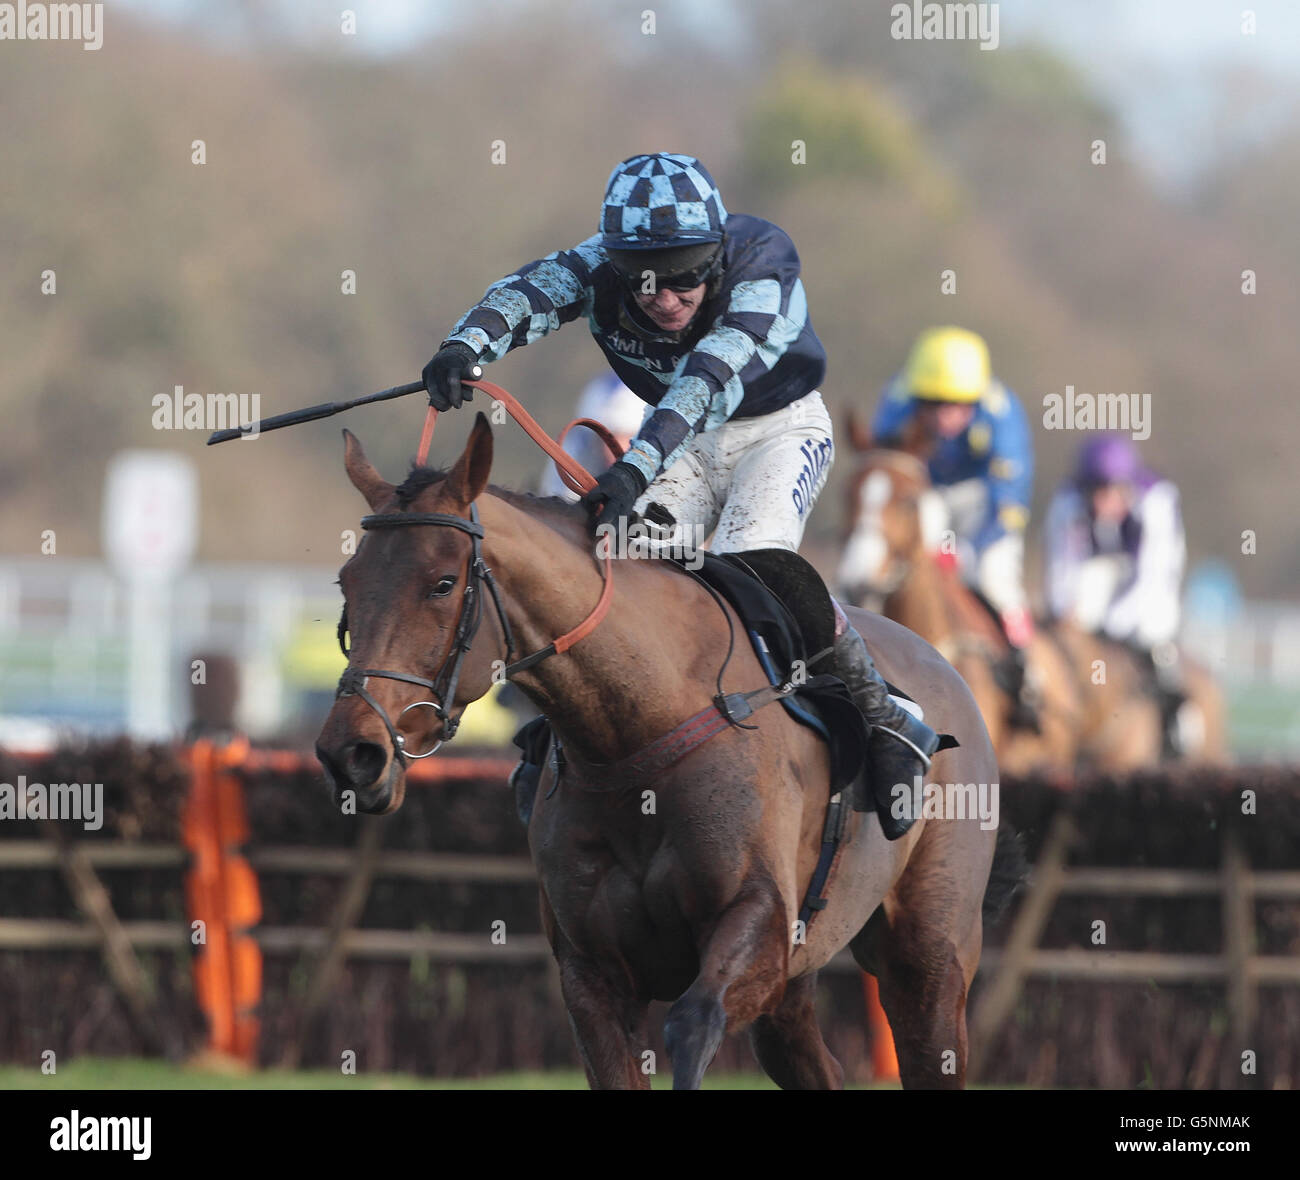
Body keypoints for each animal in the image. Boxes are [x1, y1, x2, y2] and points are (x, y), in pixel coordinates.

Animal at [315, 414, 1016, 1089]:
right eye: (347, 581)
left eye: (441, 583)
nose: (352, 751)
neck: (637, 731)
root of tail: (941, 661)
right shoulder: (593, 975)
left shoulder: (759, 926)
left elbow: (693, 1023)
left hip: (930, 951)